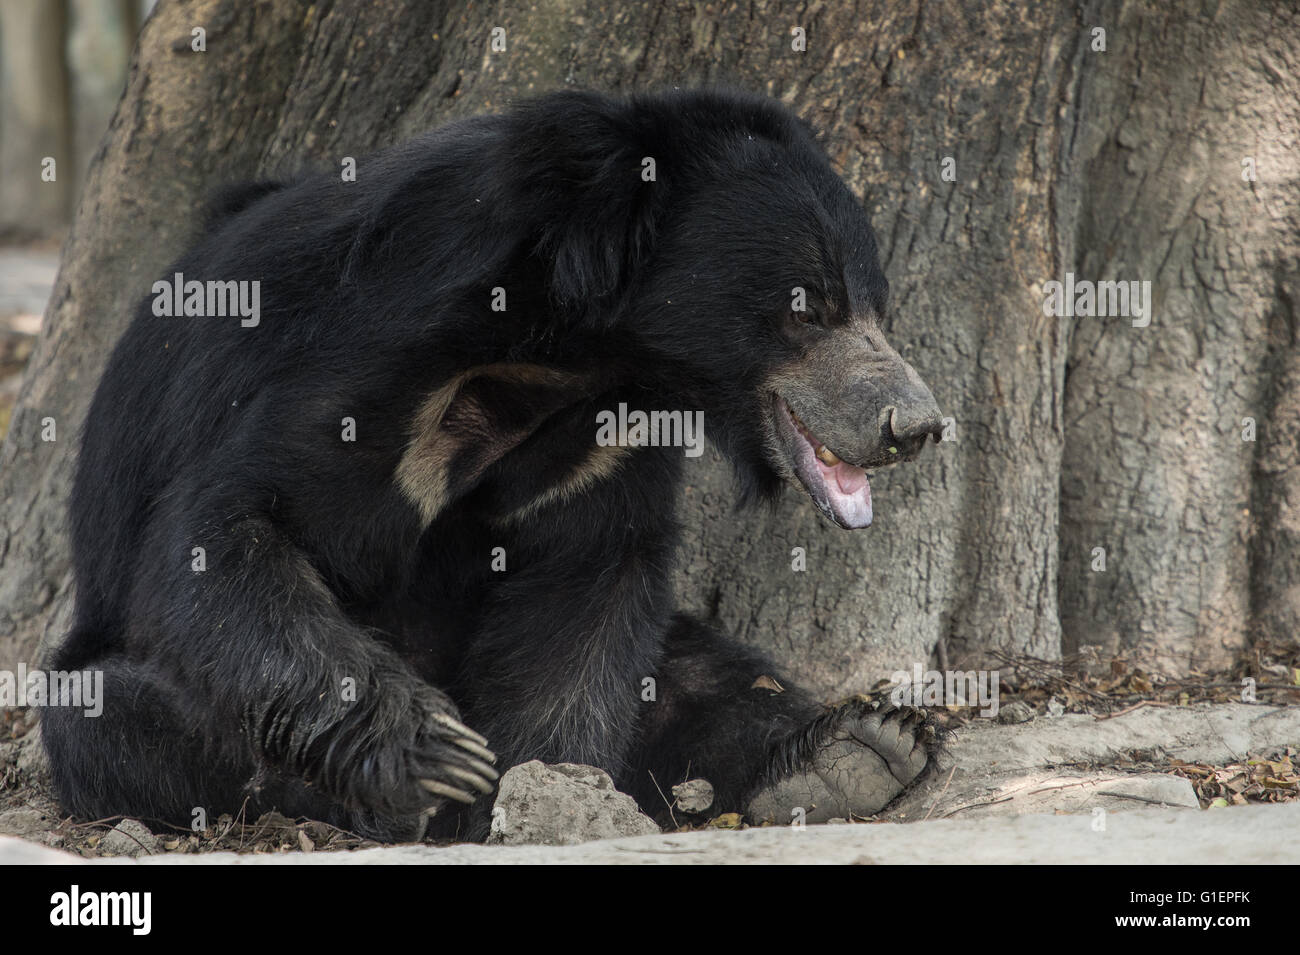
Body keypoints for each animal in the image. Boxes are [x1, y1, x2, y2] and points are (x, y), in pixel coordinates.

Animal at [41, 88, 944, 842]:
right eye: (809, 308)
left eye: (876, 305)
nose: (917, 425)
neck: (581, 358)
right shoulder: (375, 359)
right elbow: (228, 524)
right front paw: (444, 761)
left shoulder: (603, 447)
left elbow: (586, 596)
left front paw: (541, 790)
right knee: (107, 719)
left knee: (705, 673)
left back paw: (858, 751)